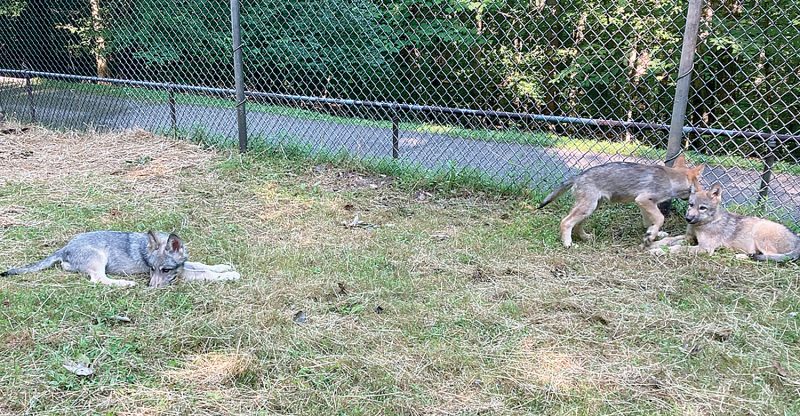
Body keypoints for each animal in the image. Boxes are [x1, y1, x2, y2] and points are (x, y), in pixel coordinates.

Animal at [538, 155, 705, 248]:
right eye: (699, 184)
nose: (702, 191)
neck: (671, 180)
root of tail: (578, 176)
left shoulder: (643, 203)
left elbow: (649, 222)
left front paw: (652, 234)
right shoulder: (644, 199)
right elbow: (660, 218)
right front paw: (651, 236)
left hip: (592, 208)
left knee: (577, 225)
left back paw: (585, 237)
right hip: (588, 208)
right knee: (566, 222)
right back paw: (568, 243)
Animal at [649, 183, 800, 261]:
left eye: (702, 208)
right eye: (690, 205)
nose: (688, 219)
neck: (704, 224)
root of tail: (797, 238)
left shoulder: (705, 248)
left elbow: (676, 248)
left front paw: (658, 251)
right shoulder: (689, 237)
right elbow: (669, 239)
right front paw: (655, 244)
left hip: (760, 234)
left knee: (769, 257)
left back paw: (743, 256)